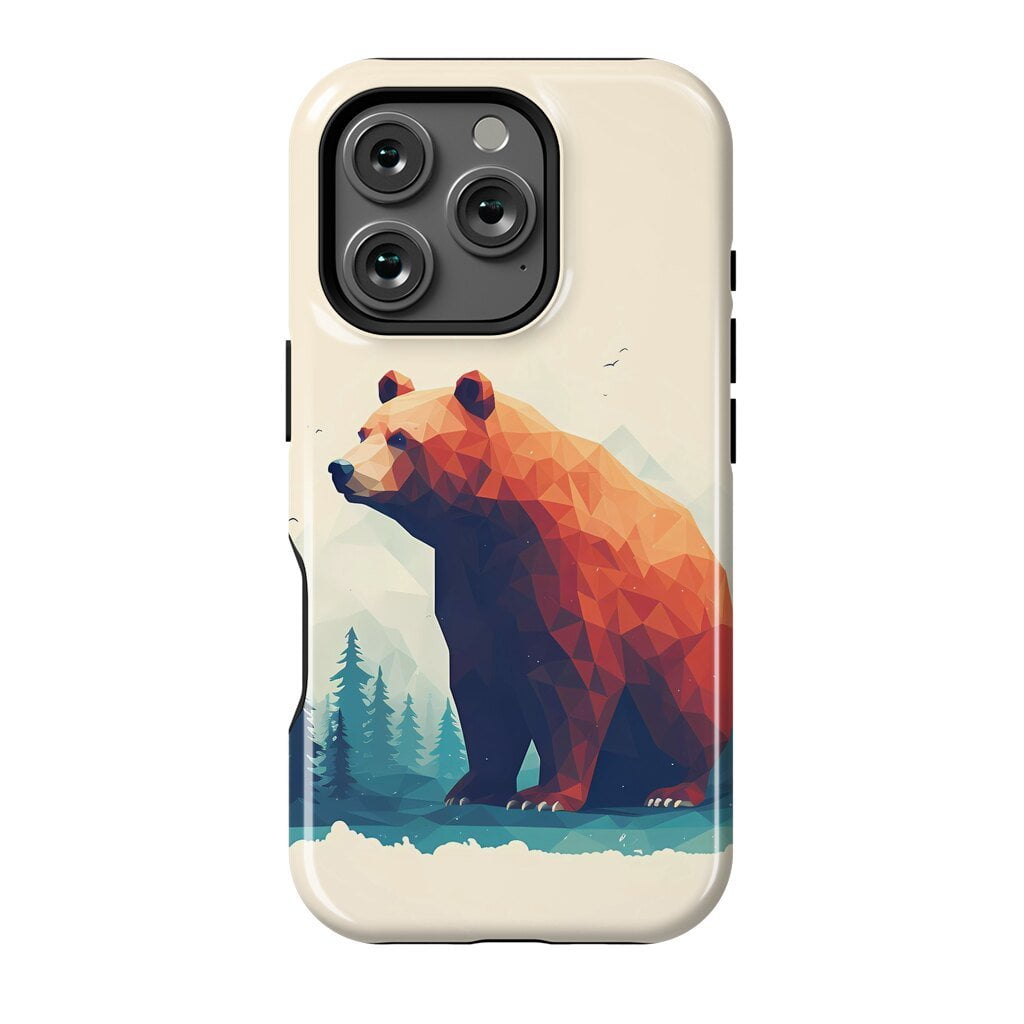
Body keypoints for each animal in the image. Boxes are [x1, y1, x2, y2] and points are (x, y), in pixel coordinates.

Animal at [329, 370, 732, 812]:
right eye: (363, 431)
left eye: (401, 438)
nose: (340, 467)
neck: (496, 518)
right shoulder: (467, 581)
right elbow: (480, 685)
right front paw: (471, 788)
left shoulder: (566, 568)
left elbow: (575, 678)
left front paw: (545, 795)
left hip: (683, 643)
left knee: (686, 713)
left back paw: (673, 791)